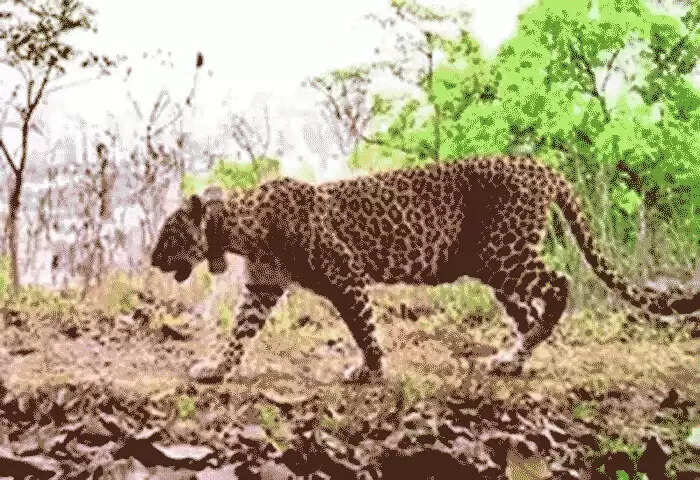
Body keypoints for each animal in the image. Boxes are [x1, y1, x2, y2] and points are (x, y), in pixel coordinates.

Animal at [150, 155, 700, 383]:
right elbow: (239, 333)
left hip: (505, 253)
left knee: (559, 286)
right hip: (494, 267)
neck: (240, 226)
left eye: (167, 235)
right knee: (525, 310)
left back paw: (524, 348)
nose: (152, 260)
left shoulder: (346, 276)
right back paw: (513, 358)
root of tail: (540, 166)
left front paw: (369, 370)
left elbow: (362, 327)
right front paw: (215, 369)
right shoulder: (263, 287)